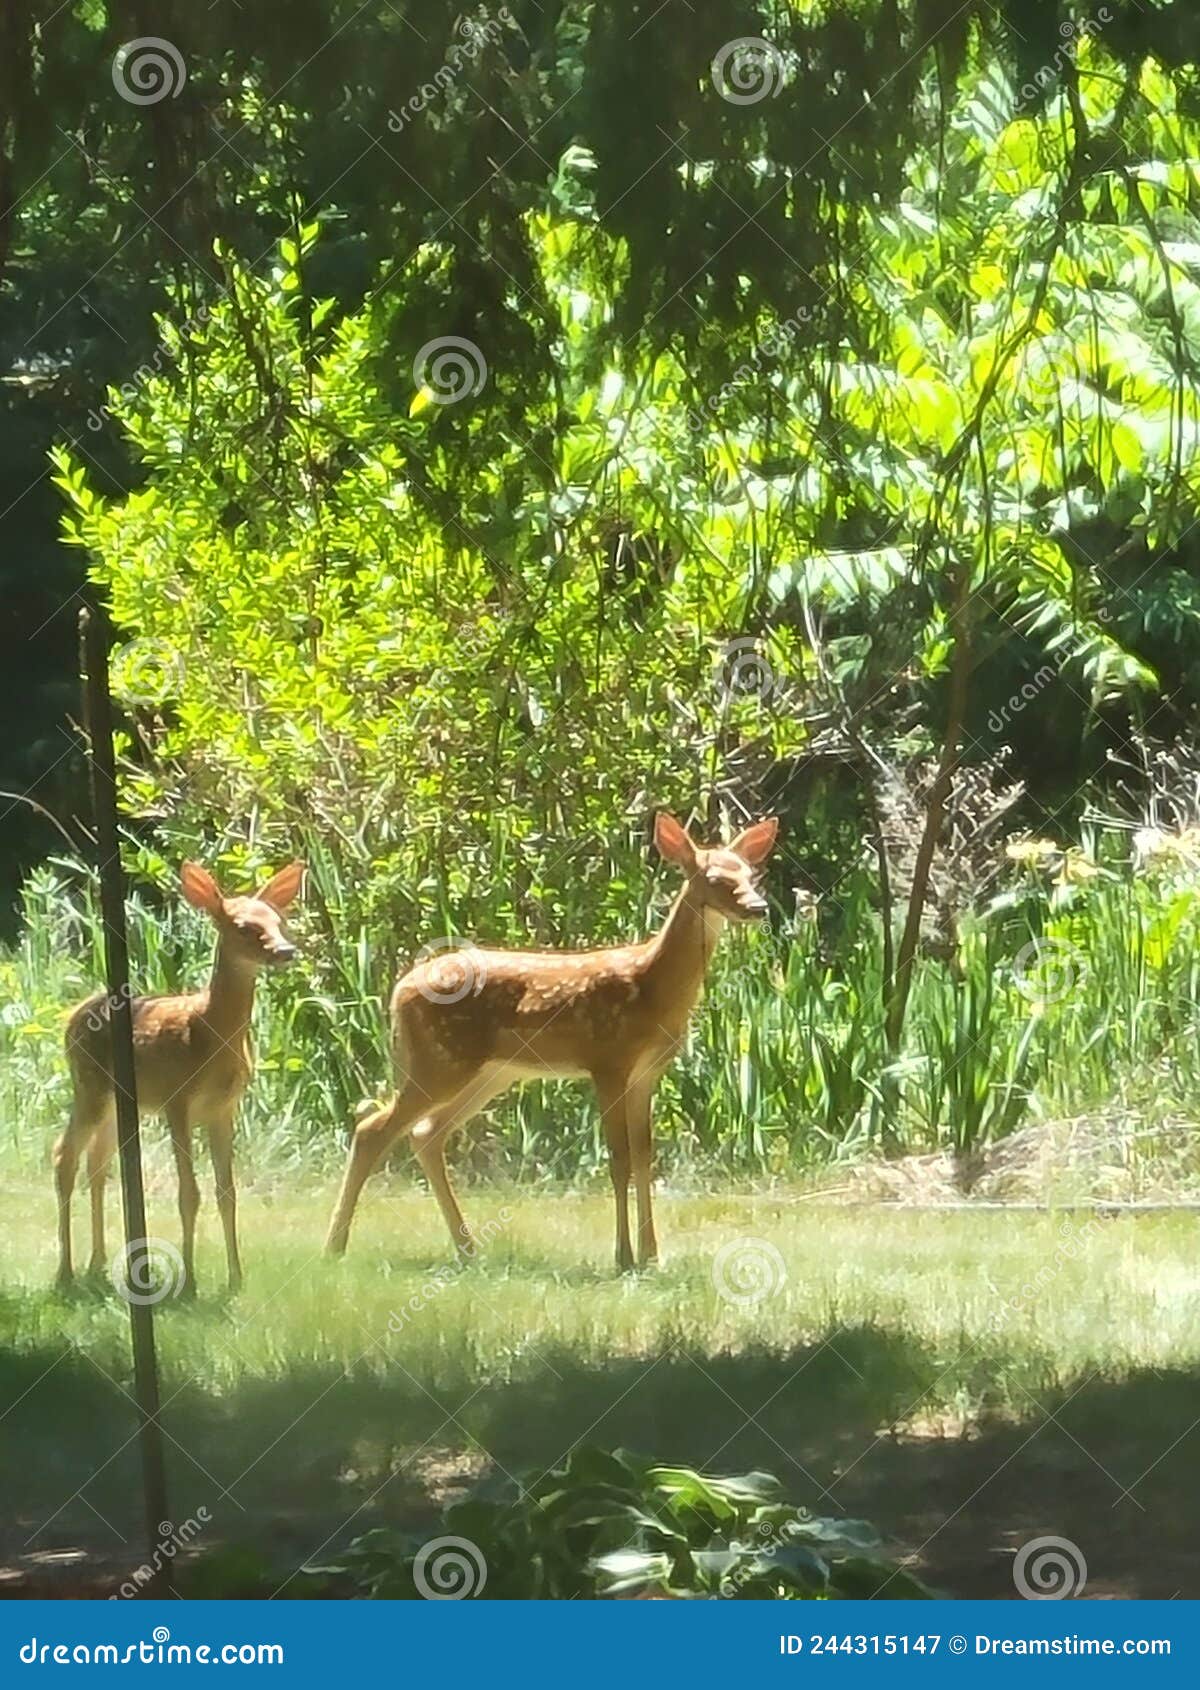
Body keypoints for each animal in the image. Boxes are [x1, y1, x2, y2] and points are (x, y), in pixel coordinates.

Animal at [54, 859, 305, 1295]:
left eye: (279, 920)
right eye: (243, 926)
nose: (285, 951)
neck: (208, 1033)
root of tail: (73, 1014)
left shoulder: (224, 1109)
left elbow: (227, 1193)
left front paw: (236, 1277)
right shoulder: (177, 1100)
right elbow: (189, 1193)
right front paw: (189, 1283)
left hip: (117, 1103)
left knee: (97, 1164)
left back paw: (97, 1264)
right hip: (89, 1086)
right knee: (64, 1157)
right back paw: (66, 1272)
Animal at [324, 813, 778, 1272]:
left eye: (751, 874)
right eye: (715, 878)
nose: (758, 908)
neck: (652, 985)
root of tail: (397, 992)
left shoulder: (647, 1072)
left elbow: (644, 1156)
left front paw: (652, 1256)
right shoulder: (608, 1060)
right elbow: (620, 1159)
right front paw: (624, 1257)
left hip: (487, 1073)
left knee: (425, 1133)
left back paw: (467, 1250)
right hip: (439, 1061)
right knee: (372, 1129)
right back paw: (335, 1246)